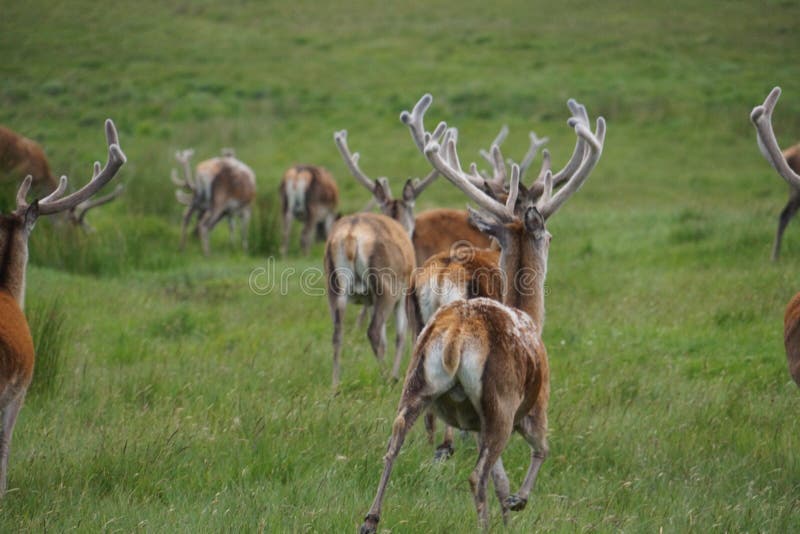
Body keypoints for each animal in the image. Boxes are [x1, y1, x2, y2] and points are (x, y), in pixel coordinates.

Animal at [358, 94, 605, 533]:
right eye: (550, 236)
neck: (529, 317)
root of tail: (456, 338)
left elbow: (500, 474)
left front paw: (509, 506)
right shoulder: (537, 400)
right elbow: (541, 450)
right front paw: (518, 503)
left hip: (417, 380)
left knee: (394, 442)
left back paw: (370, 518)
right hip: (500, 402)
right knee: (477, 474)